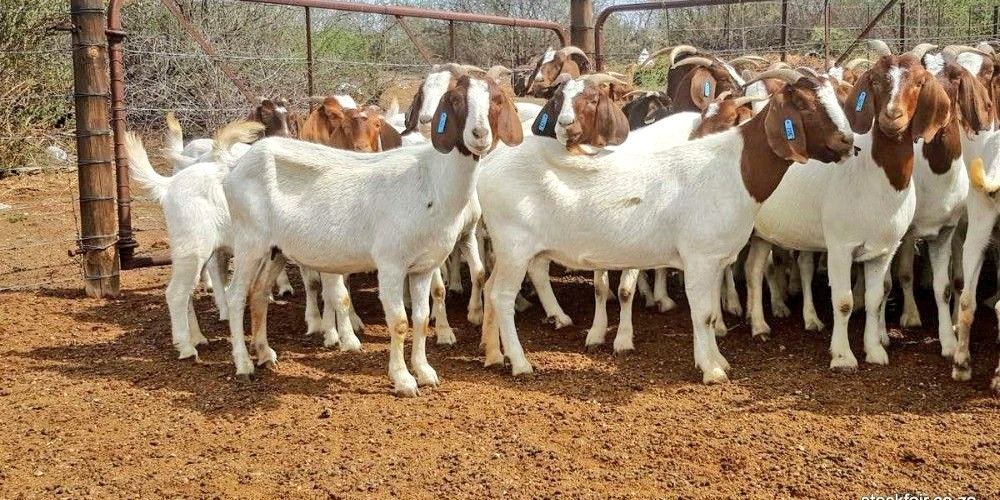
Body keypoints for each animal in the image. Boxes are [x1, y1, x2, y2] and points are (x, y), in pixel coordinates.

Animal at [222, 76, 523, 396]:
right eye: (455, 100)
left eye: (496, 100)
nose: (479, 134)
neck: (431, 180)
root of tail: (235, 167)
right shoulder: (391, 263)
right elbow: (400, 322)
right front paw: (403, 380)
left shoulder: (423, 267)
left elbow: (420, 318)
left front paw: (425, 371)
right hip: (248, 242)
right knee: (236, 295)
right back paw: (243, 364)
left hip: (274, 249)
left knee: (258, 292)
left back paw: (265, 353)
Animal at [477, 69, 853, 382]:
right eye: (802, 104)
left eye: (837, 98)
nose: (847, 141)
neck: (734, 168)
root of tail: (489, 166)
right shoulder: (700, 256)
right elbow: (702, 313)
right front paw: (711, 371)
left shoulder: (716, 259)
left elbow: (710, 313)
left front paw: (717, 360)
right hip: (515, 245)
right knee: (502, 295)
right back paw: (520, 363)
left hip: (510, 248)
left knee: (490, 288)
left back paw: (493, 355)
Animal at [745, 48, 952, 371]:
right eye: (876, 80)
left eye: (919, 82)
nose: (893, 116)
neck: (872, 178)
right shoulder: (840, 246)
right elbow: (843, 301)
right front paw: (843, 356)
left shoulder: (883, 250)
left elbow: (876, 298)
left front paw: (875, 350)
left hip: (762, 233)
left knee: (753, 269)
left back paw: (759, 326)